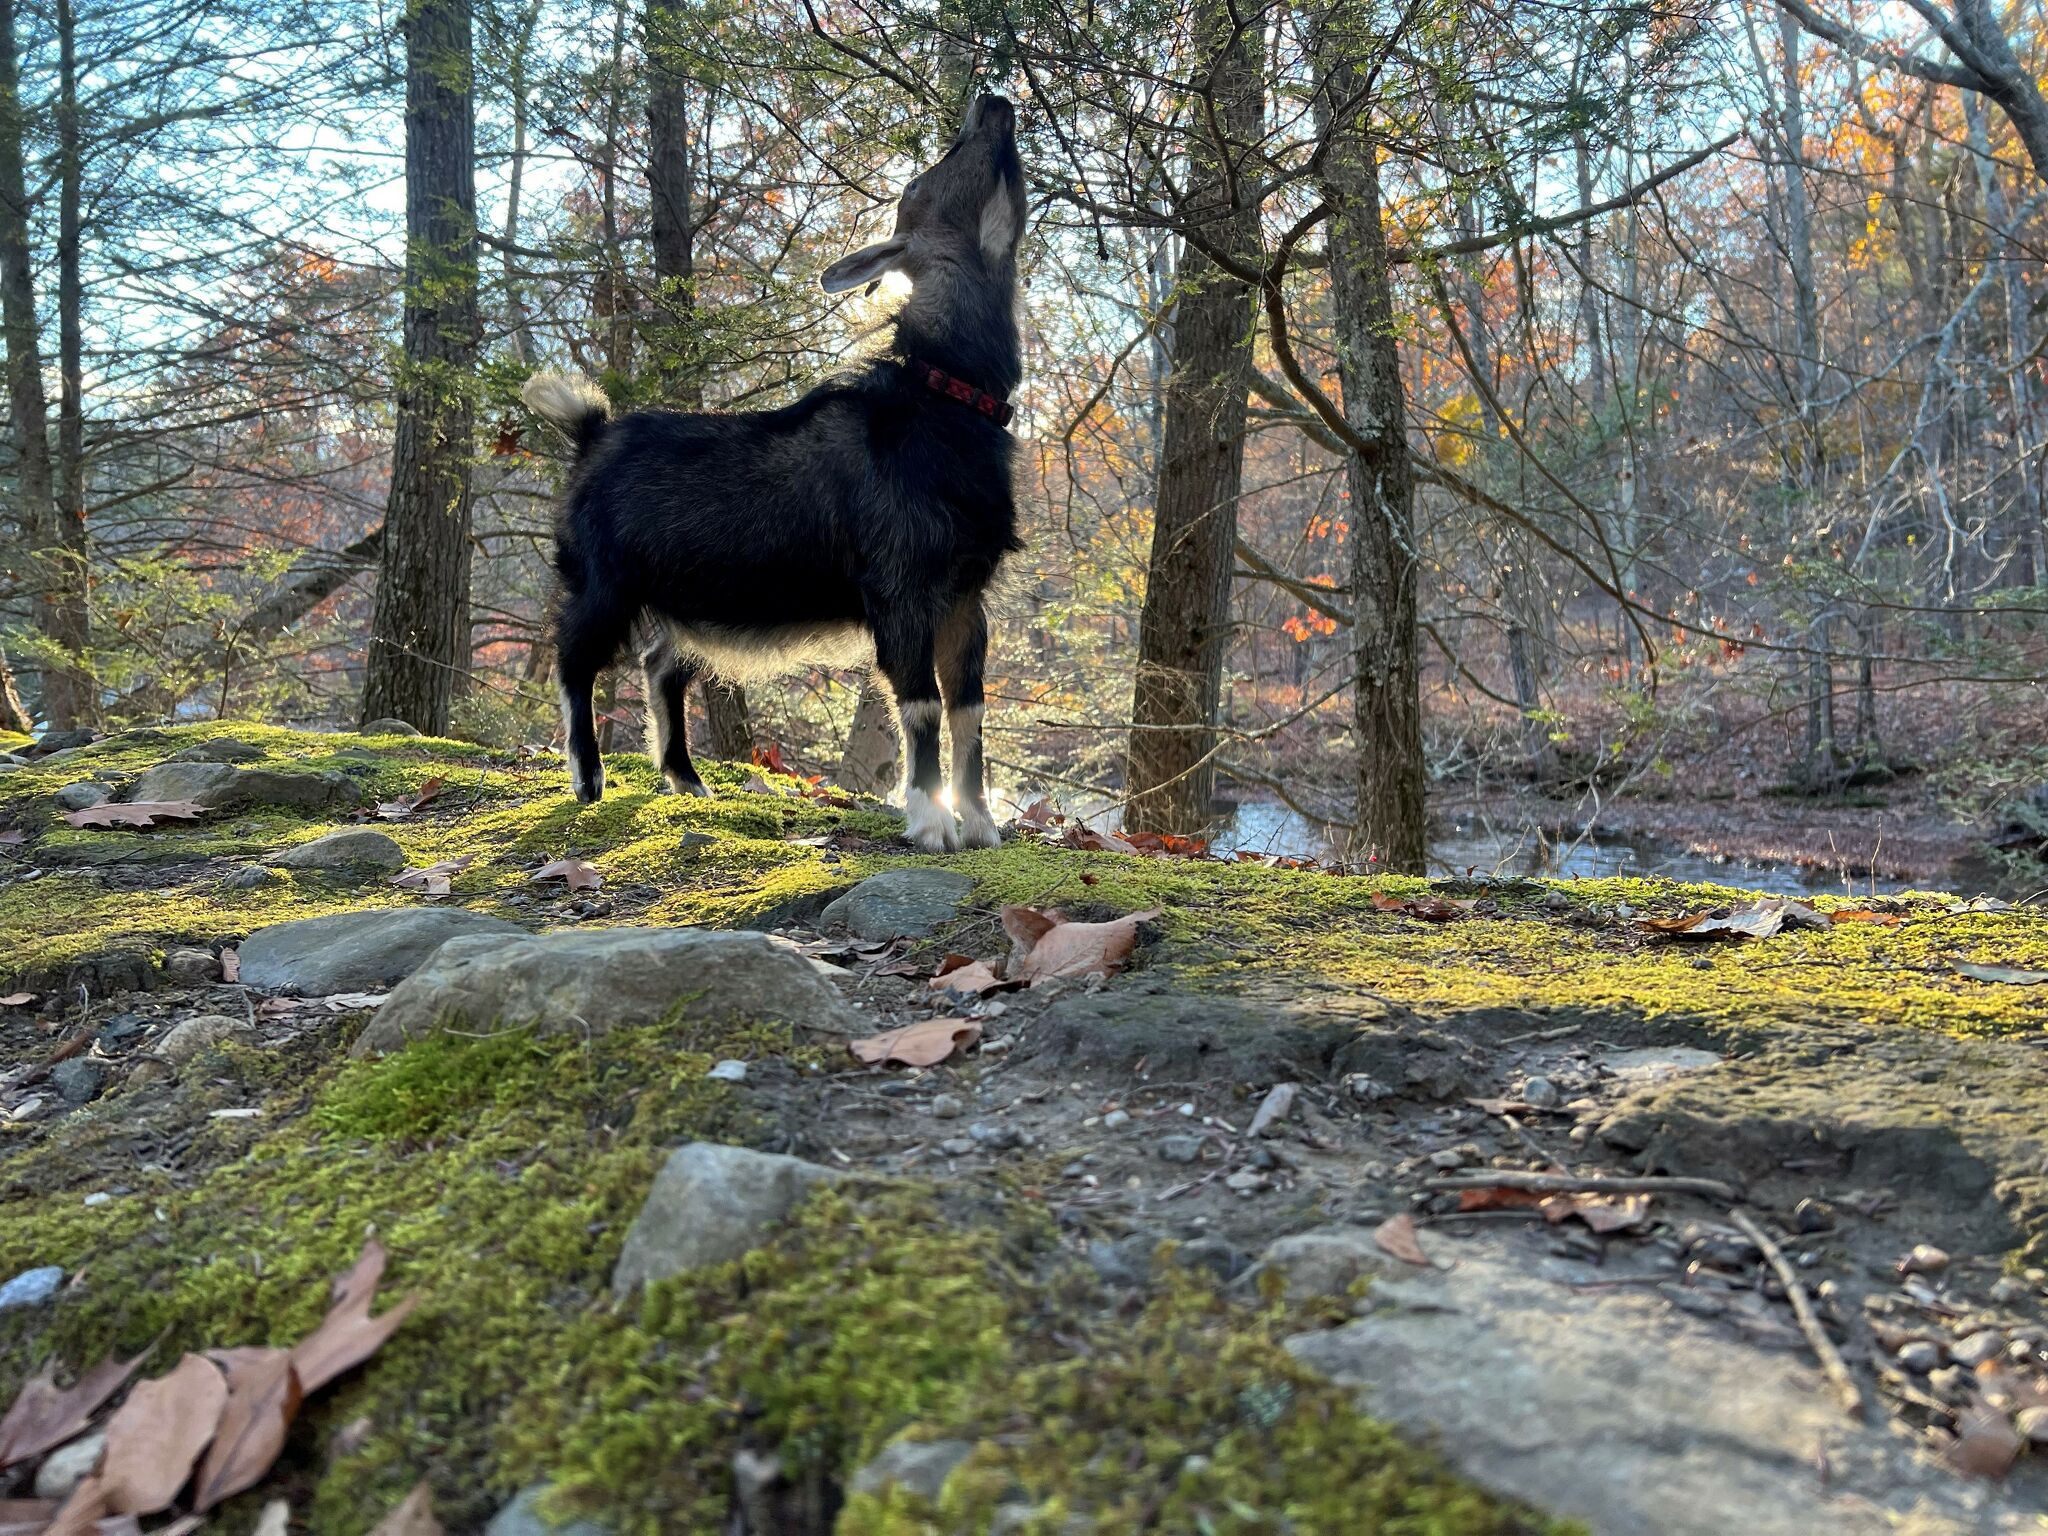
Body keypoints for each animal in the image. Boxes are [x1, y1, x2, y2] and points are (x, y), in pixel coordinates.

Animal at [521, 93, 1027, 852]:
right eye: (927, 174)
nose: (992, 102)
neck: (946, 396)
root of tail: (592, 431)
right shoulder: (901, 585)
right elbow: (921, 706)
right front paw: (932, 820)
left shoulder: (967, 596)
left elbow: (969, 711)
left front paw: (983, 823)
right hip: (602, 582)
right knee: (574, 660)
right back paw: (587, 777)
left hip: (685, 596)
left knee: (660, 665)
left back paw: (686, 778)